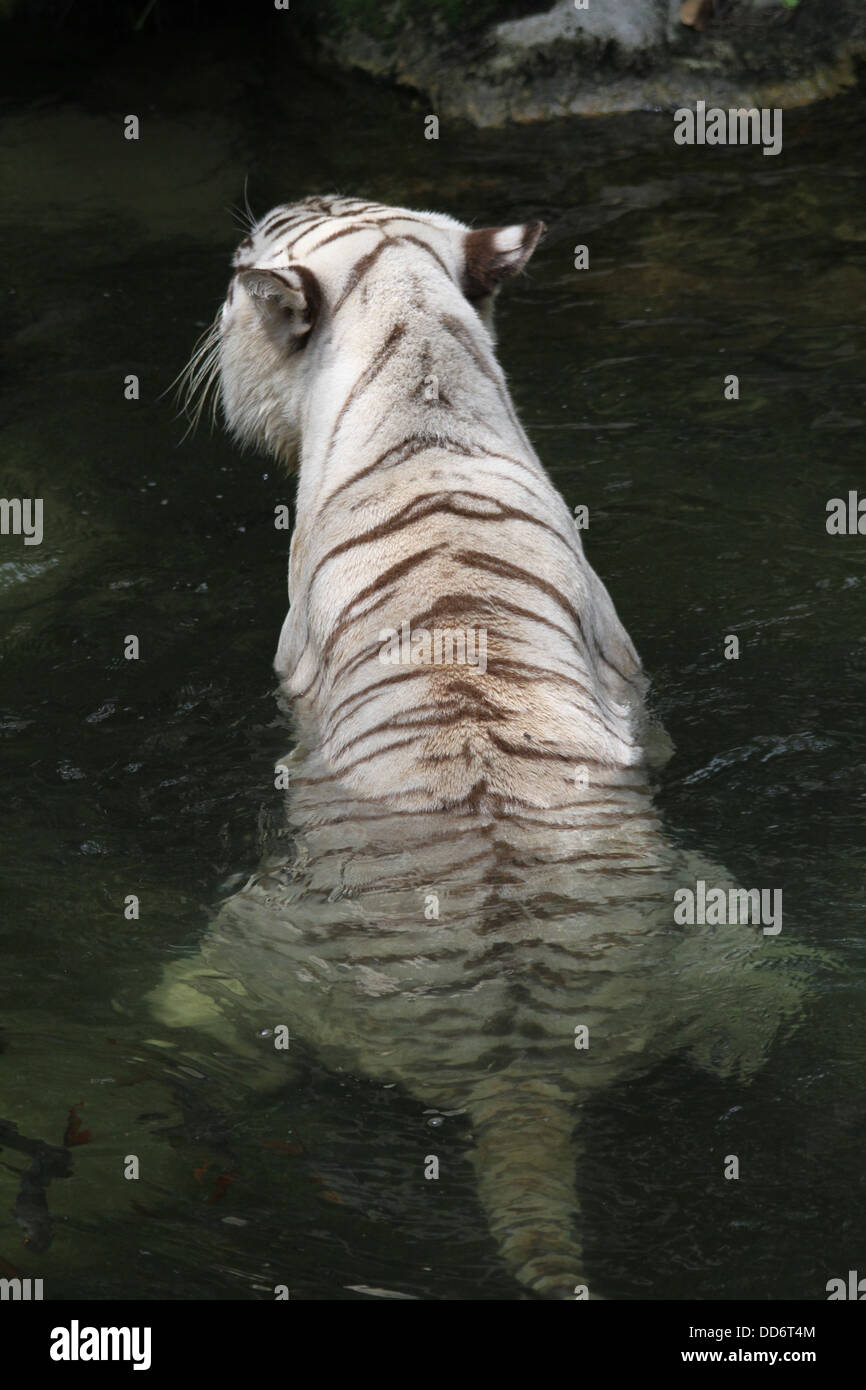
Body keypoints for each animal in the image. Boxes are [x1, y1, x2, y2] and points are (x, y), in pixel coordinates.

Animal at [151, 194, 820, 1299]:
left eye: (250, 253)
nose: (229, 270)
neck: (419, 371)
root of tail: (521, 1071)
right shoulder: (626, 668)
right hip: (720, 899)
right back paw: (738, 1041)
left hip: (257, 932)